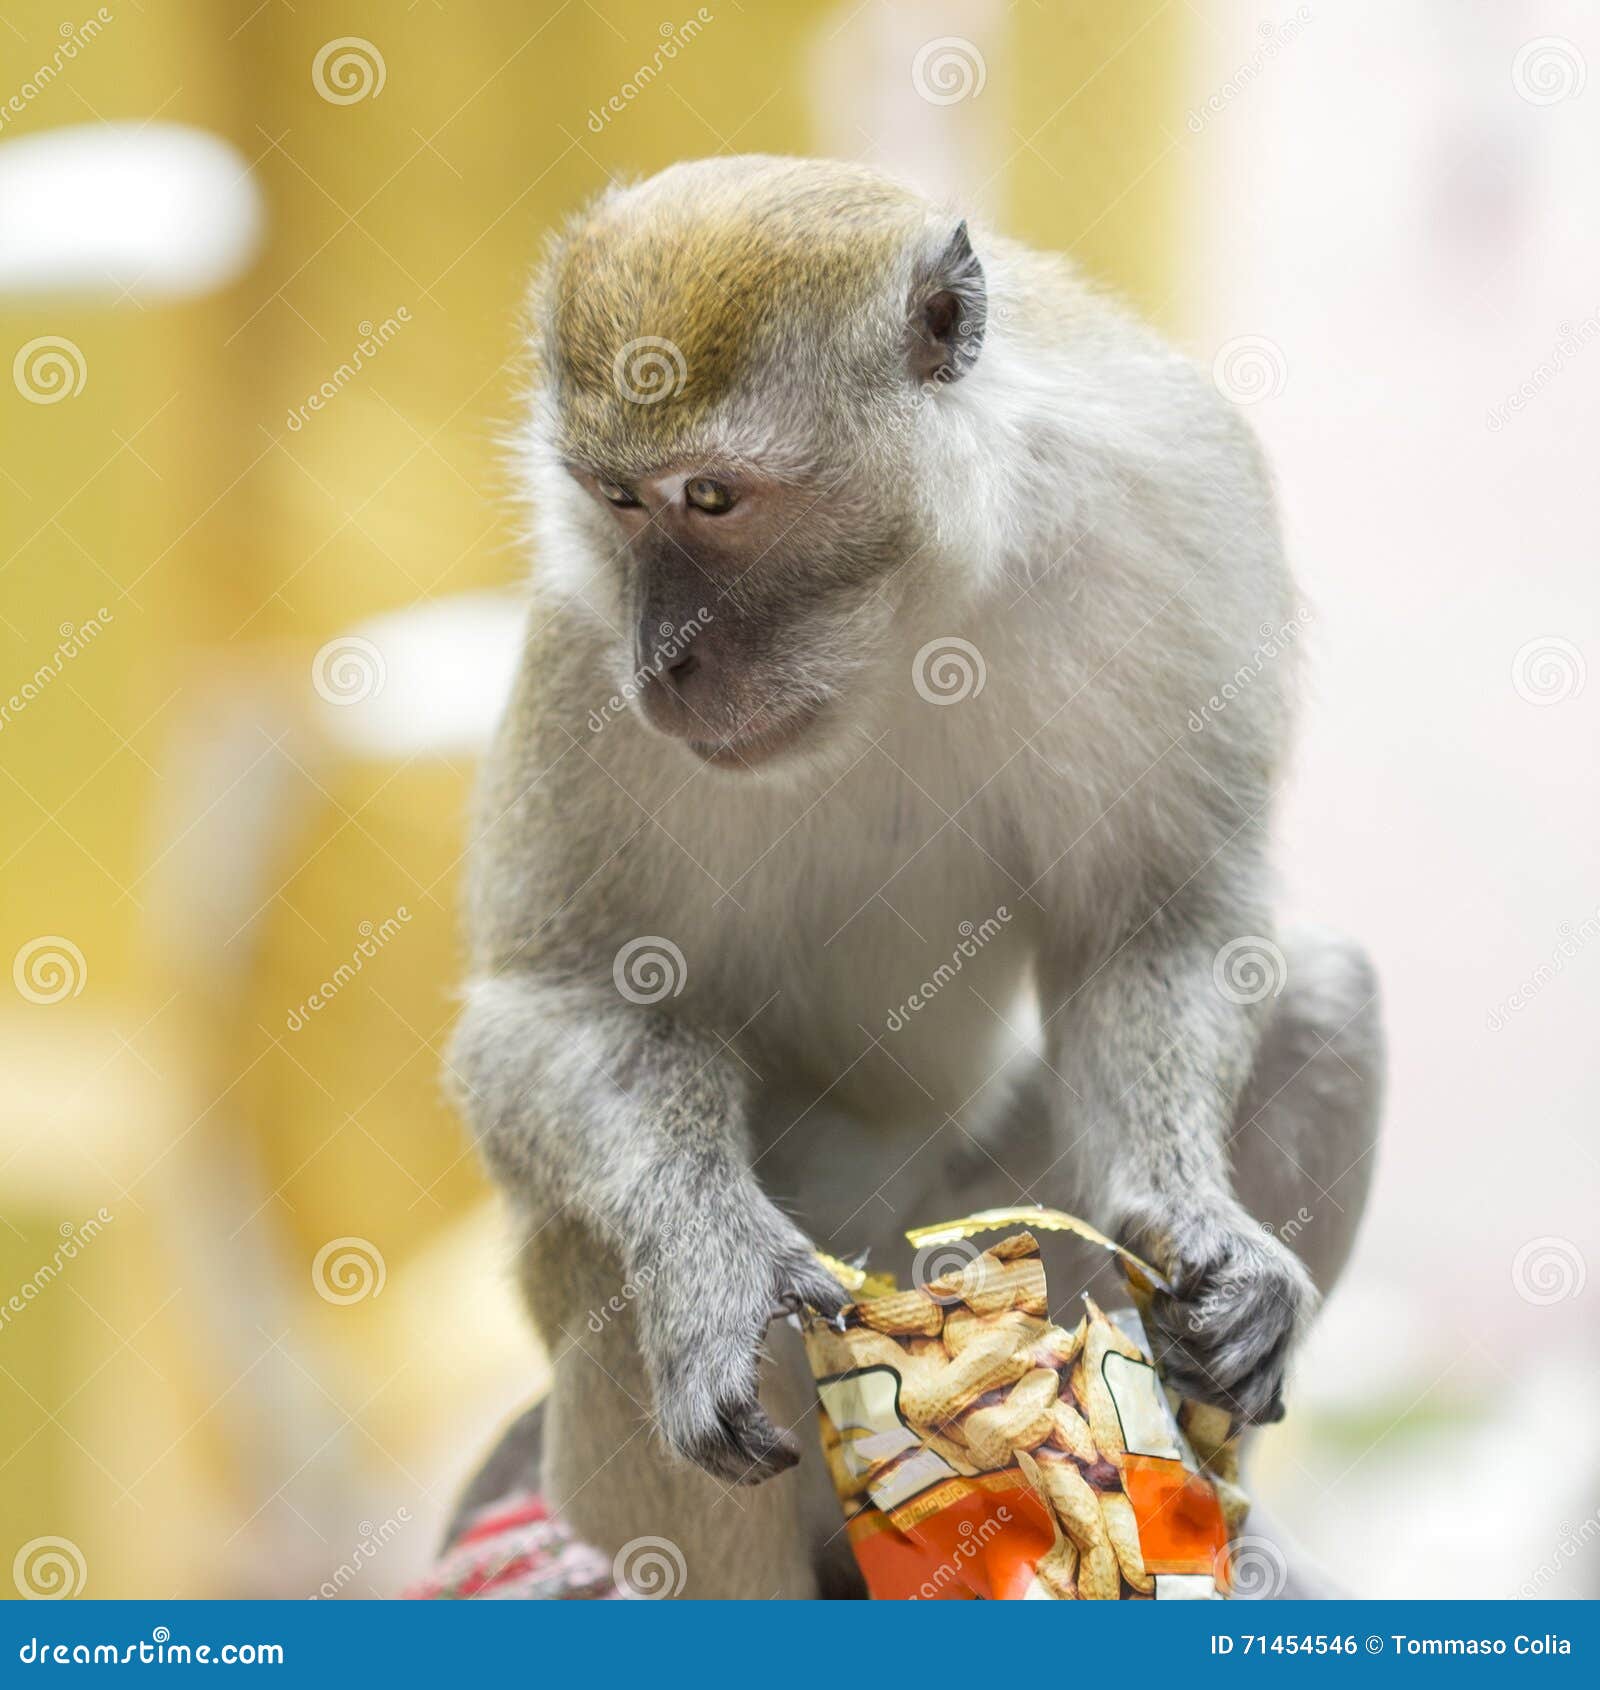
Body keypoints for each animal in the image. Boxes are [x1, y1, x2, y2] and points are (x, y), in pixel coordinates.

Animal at [446, 156, 1385, 1599]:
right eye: (617, 501)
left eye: (711, 498)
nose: (663, 662)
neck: (907, 608)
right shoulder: (576, 632)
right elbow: (555, 1005)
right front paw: (712, 1261)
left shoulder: (1177, 505)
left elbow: (1163, 916)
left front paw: (1196, 1222)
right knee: (604, 1240)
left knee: (1324, 995)